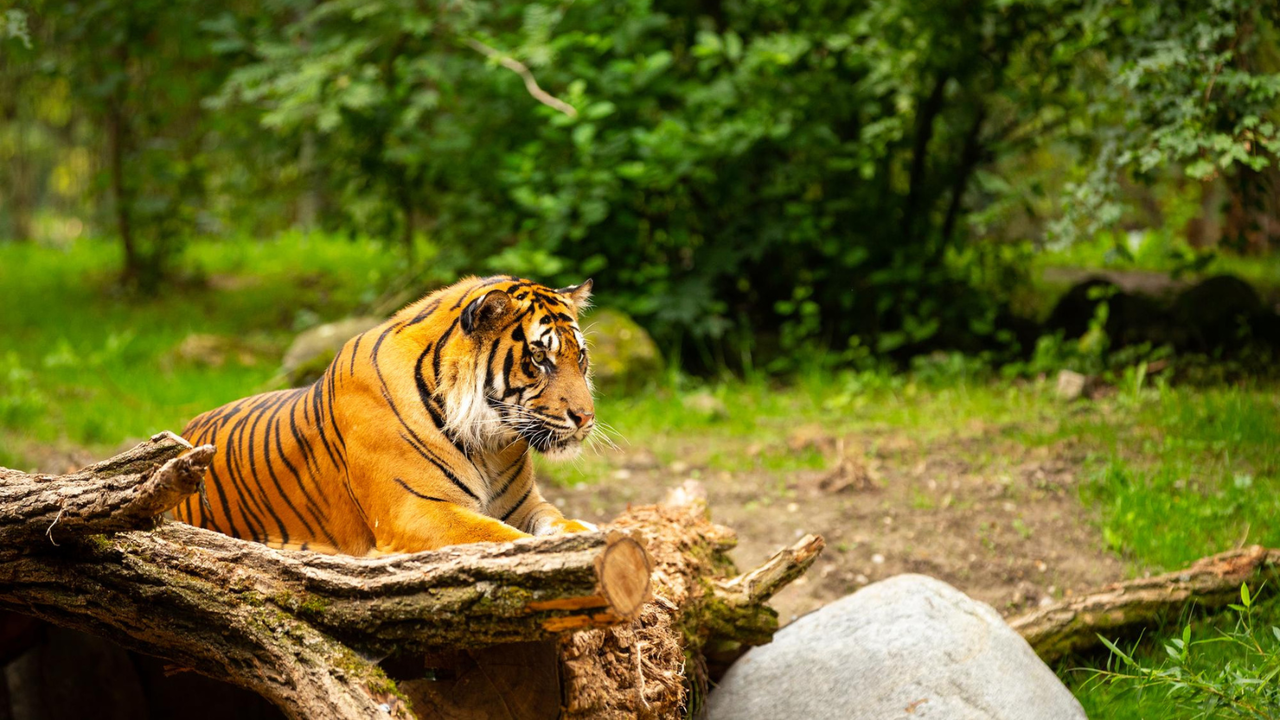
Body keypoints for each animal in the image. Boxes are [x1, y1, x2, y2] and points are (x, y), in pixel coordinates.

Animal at [172, 275, 600, 555]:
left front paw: (586, 530)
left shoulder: (524, 506)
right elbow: (502, 538)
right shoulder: (417, 512)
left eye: (579, 357)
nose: (585, 417)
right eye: (539, 358)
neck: (490, 444)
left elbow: (560, 521)